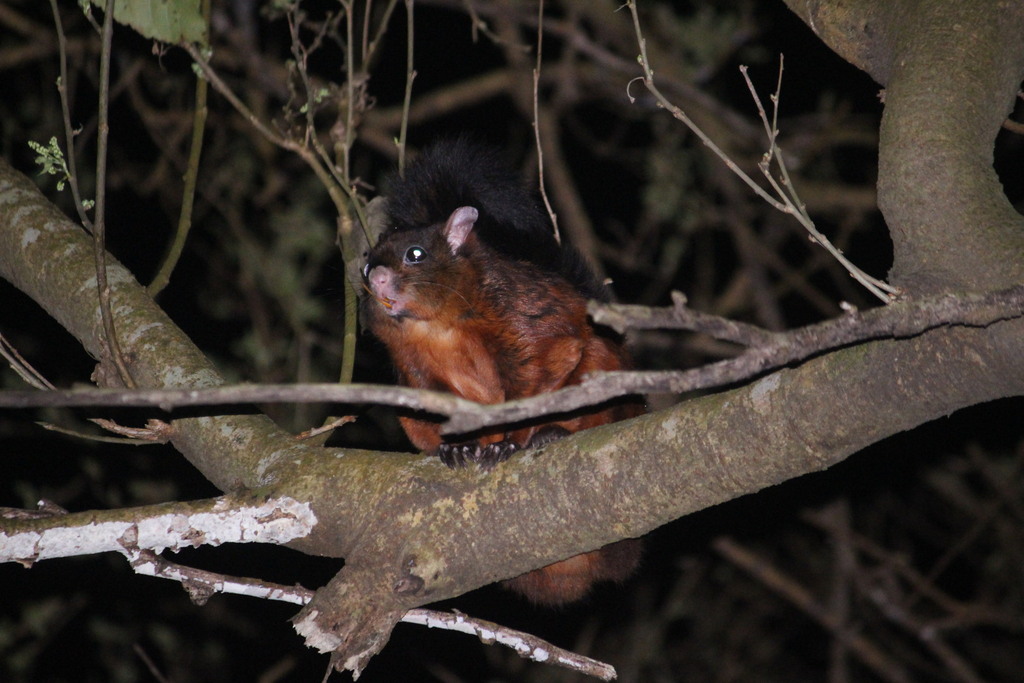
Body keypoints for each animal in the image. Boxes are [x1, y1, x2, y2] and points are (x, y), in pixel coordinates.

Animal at [360, 138, 642, 605]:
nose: (377, 277)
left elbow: (540, 370)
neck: (436, 326)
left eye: (415, 254)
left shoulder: (528, 323)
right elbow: (437, 403)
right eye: (365, 266)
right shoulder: (413, 370)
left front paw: (510, 443)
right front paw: (460, 447)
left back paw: (552, 433)